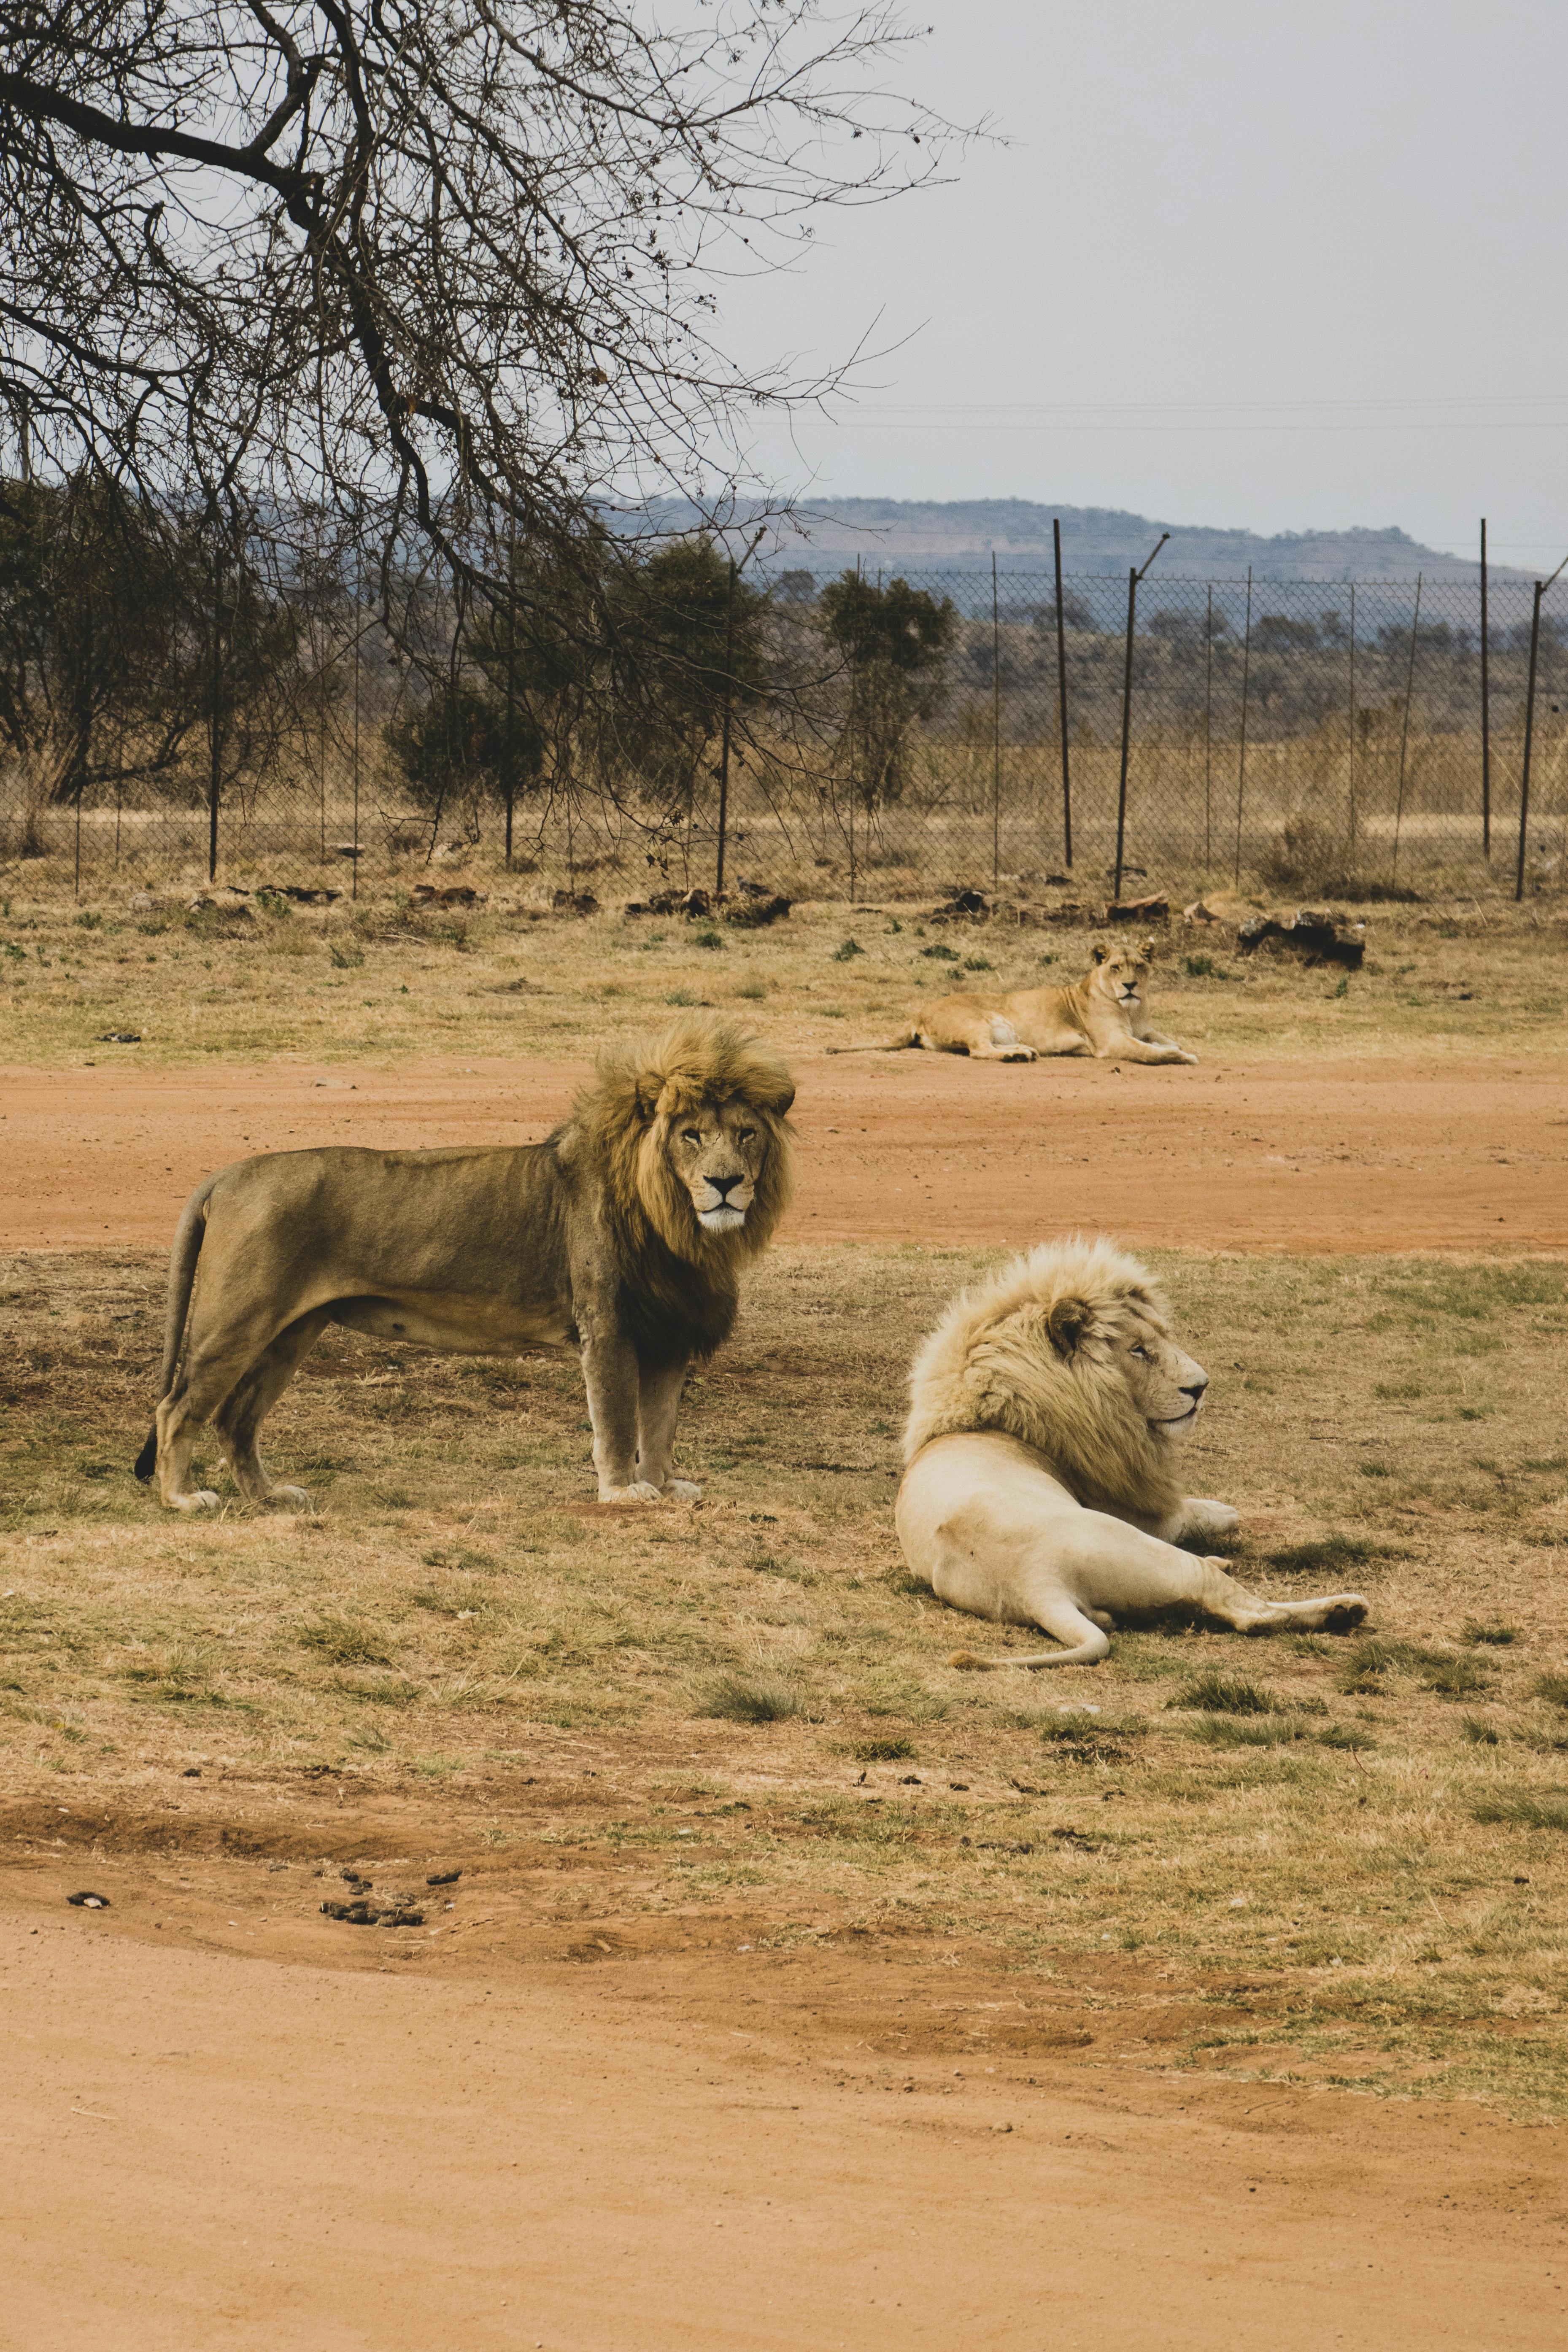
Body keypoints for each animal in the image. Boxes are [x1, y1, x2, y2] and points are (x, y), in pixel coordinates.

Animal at [132, 1015, 795, 1514]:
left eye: (745, 1134)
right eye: (690, 1136)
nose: (726, 1182)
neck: (683, 1227)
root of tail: (226, 1174)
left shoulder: (670, 1334)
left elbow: (660, 1424)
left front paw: (662, 1484)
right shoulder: (608, 1325)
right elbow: (617, 1420)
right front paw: (623, 1491)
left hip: (293, 1331)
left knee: (236, 1419)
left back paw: (270, 1496)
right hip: (237, 1320)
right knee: (177, 1408)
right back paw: (181, 1498)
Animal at [830, 937, 1195, 1064]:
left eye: (1139, 965)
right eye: (1116, 967)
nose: (1130, 985)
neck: (1132, 1010)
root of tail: (918, 1012)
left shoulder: (1143, 1029)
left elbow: (1164, 1039)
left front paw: (1180, 1047)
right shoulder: (1111, 1043)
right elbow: (1152, 1053)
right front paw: (1182, 1056)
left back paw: (1024, 1051)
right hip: (977, 1020)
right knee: (979, 1051)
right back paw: (1016, 1056)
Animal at [895, 1238, 1366, 1667]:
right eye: (1139, 1350)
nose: (1201, 1387)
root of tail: (1035, 1584)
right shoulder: (1137, 1510)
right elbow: (1187, 1512)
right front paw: (1224, 1510)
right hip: (1146, 1550)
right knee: (1250, 1612)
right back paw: (1342, 1609)